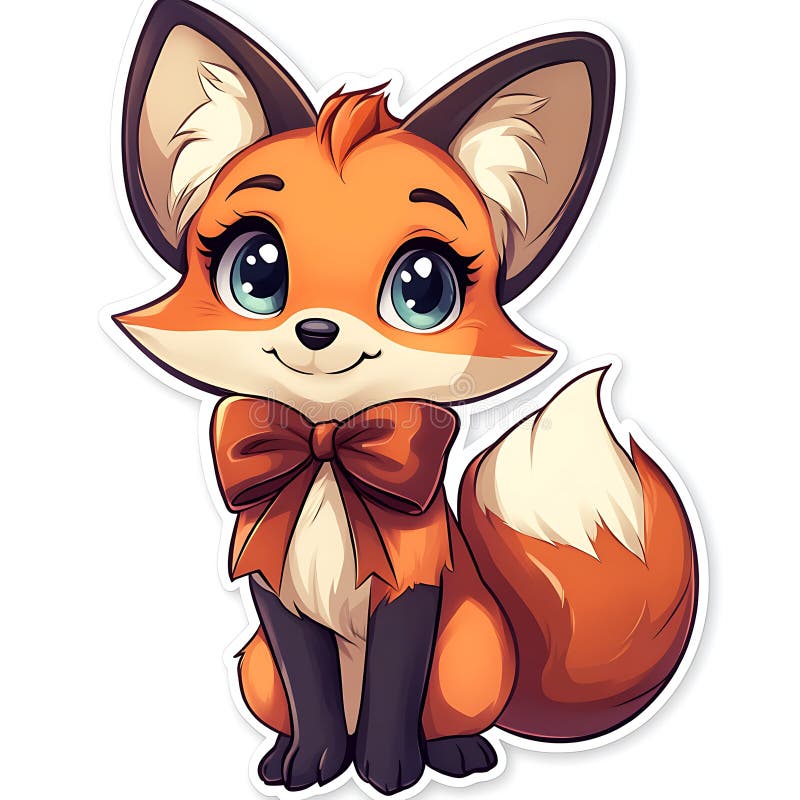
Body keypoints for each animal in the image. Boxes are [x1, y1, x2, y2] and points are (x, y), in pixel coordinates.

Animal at [108, 0, 701, 796]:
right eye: (256, 272)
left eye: (423, 289)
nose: (317, 330)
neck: (327, 456)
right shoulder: (274, 595)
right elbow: (311, 689)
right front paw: (312, 764)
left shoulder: (413, 591)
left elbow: (394, 682)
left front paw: (388, 770)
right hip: (255, 671)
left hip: (469, 656)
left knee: (447, 715)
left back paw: (454, 754)